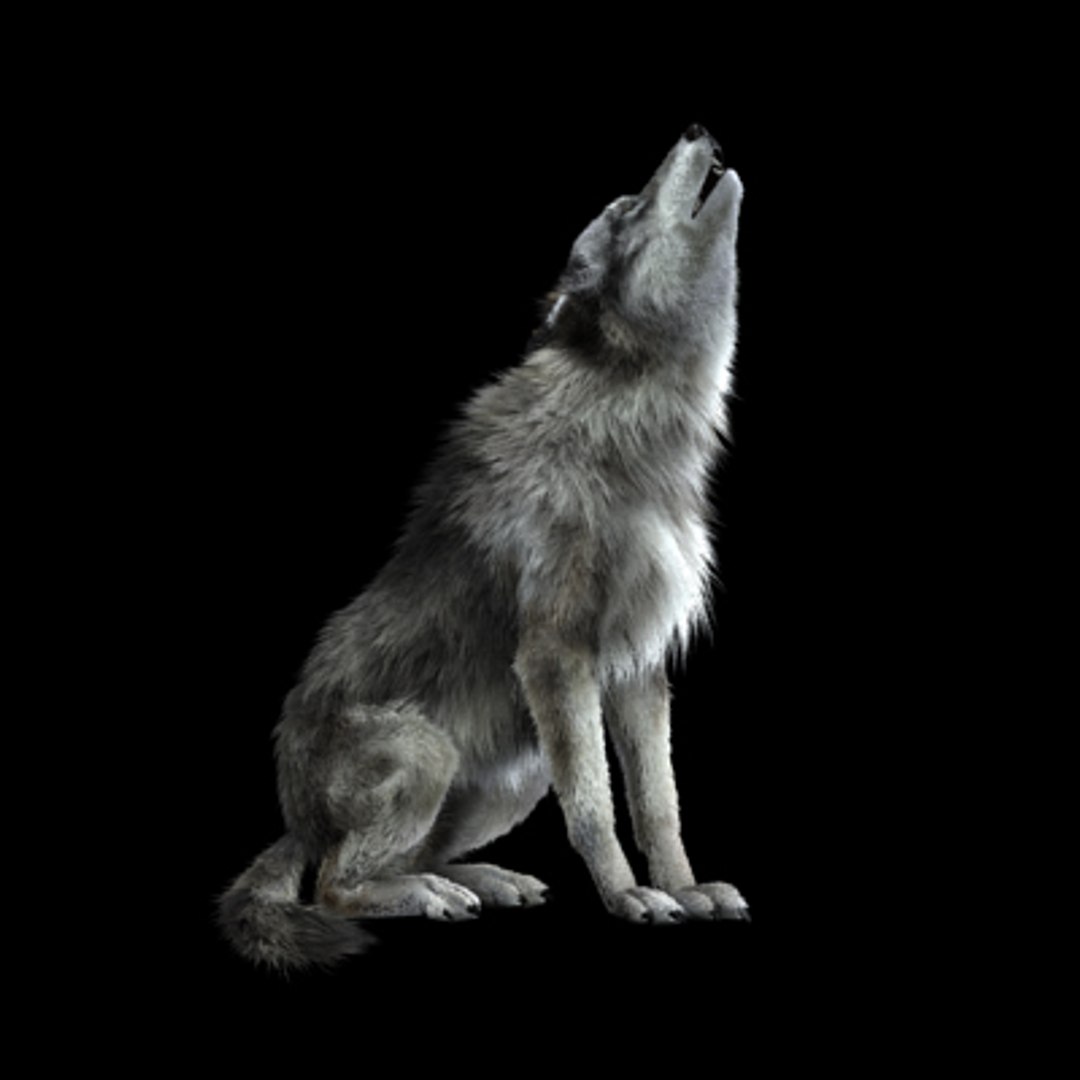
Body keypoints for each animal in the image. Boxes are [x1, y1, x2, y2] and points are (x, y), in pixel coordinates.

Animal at [219, 123, 750, 971]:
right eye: (626, 209)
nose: (696, 130)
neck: (630, 420)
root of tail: (295, 821)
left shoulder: (639, 671)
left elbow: (658, 804)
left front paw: (686, 889)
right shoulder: (555, 657)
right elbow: (596, 808)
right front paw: (630, 899)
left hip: (517, 775)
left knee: (408, 858)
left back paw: (484, 880)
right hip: (431, 751)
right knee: (334, 884)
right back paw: (431, 896)